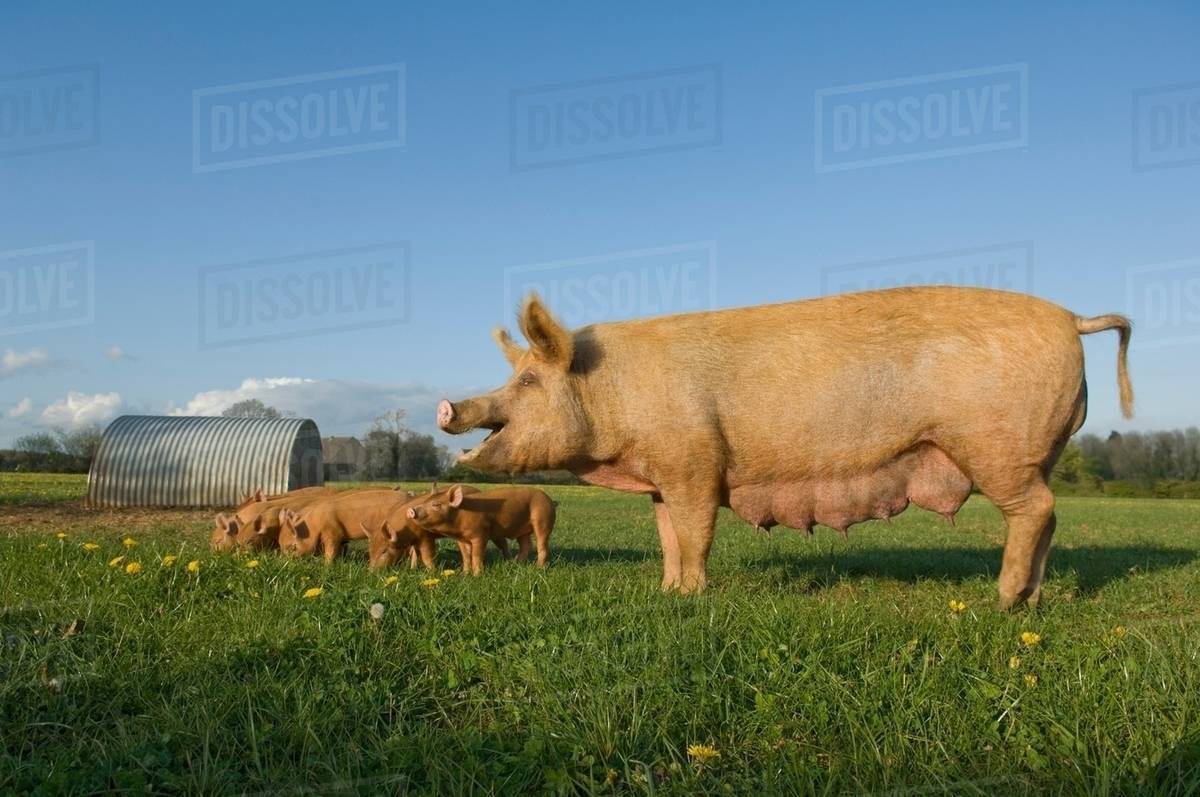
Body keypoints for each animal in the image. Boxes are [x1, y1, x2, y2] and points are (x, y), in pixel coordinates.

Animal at [404, 485, 555, 574]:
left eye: (436, 504)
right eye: (425, 501)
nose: (411, 510)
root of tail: (550, 500)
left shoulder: (480, 534)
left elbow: (476, 555)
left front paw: (477, 575)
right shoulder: (461, 539)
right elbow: (466, 556)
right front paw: (464, 574)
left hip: (543, 519)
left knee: (542, 545)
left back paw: (539, 568)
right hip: (522, 529)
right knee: (526, 545)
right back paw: (516, 564)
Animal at [435, 287, 1134, 608]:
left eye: (528, 381)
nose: (449, 406)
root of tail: (1071, 318)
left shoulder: (695, 464)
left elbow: (696, 533)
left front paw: (692, 597)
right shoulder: (664, 477)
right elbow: (667, 535)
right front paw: (666, 592)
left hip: (997, 448)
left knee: (1035, 512)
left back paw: (1000, 600)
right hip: (1037, 453)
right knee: (1047, 516)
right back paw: (1030, 601)